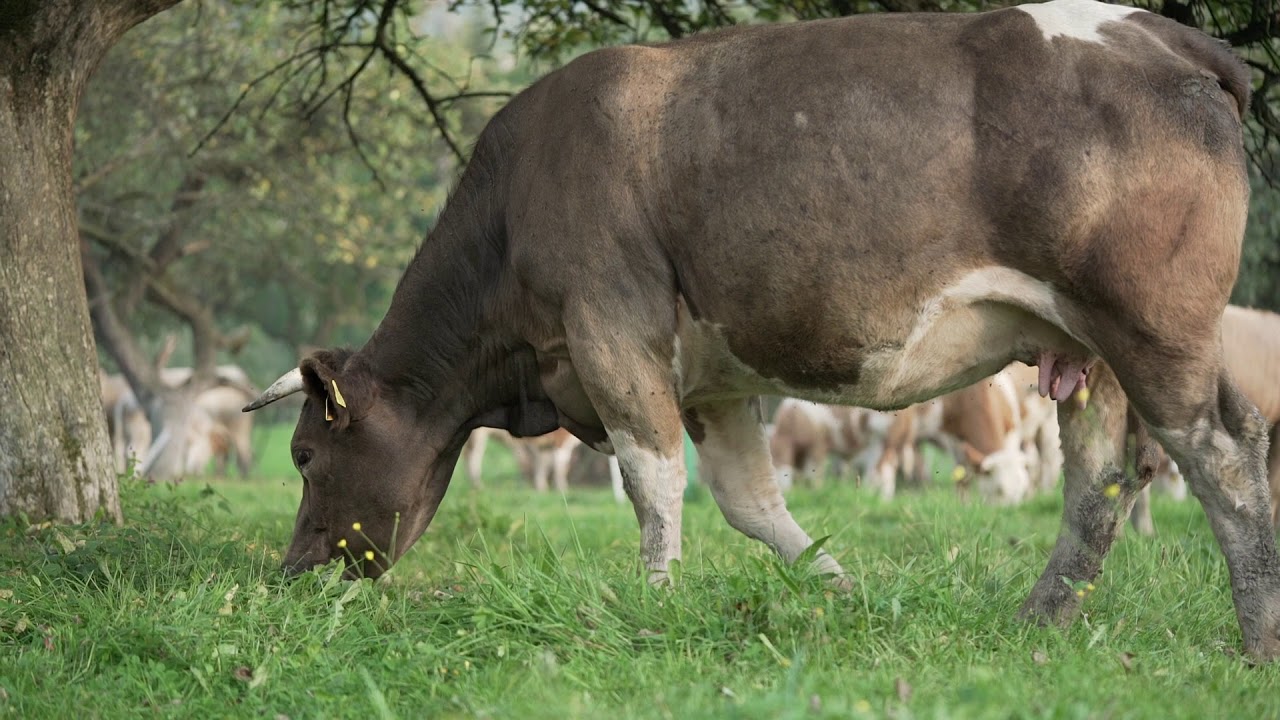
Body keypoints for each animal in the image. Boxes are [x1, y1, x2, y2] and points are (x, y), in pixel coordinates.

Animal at [243, 1, 1280, 659]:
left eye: (302, 455)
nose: (291, 573)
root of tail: (1173, 36)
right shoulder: (714, 380)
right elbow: (749, 502)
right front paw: (845, 592)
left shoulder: (611, 330)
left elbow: (654, 484)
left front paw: (654, 609)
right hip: (1089, 352)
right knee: (1099, 481)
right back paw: (1040, 624)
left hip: (1154, 328)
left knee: (1224, 456)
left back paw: (1255, 637)